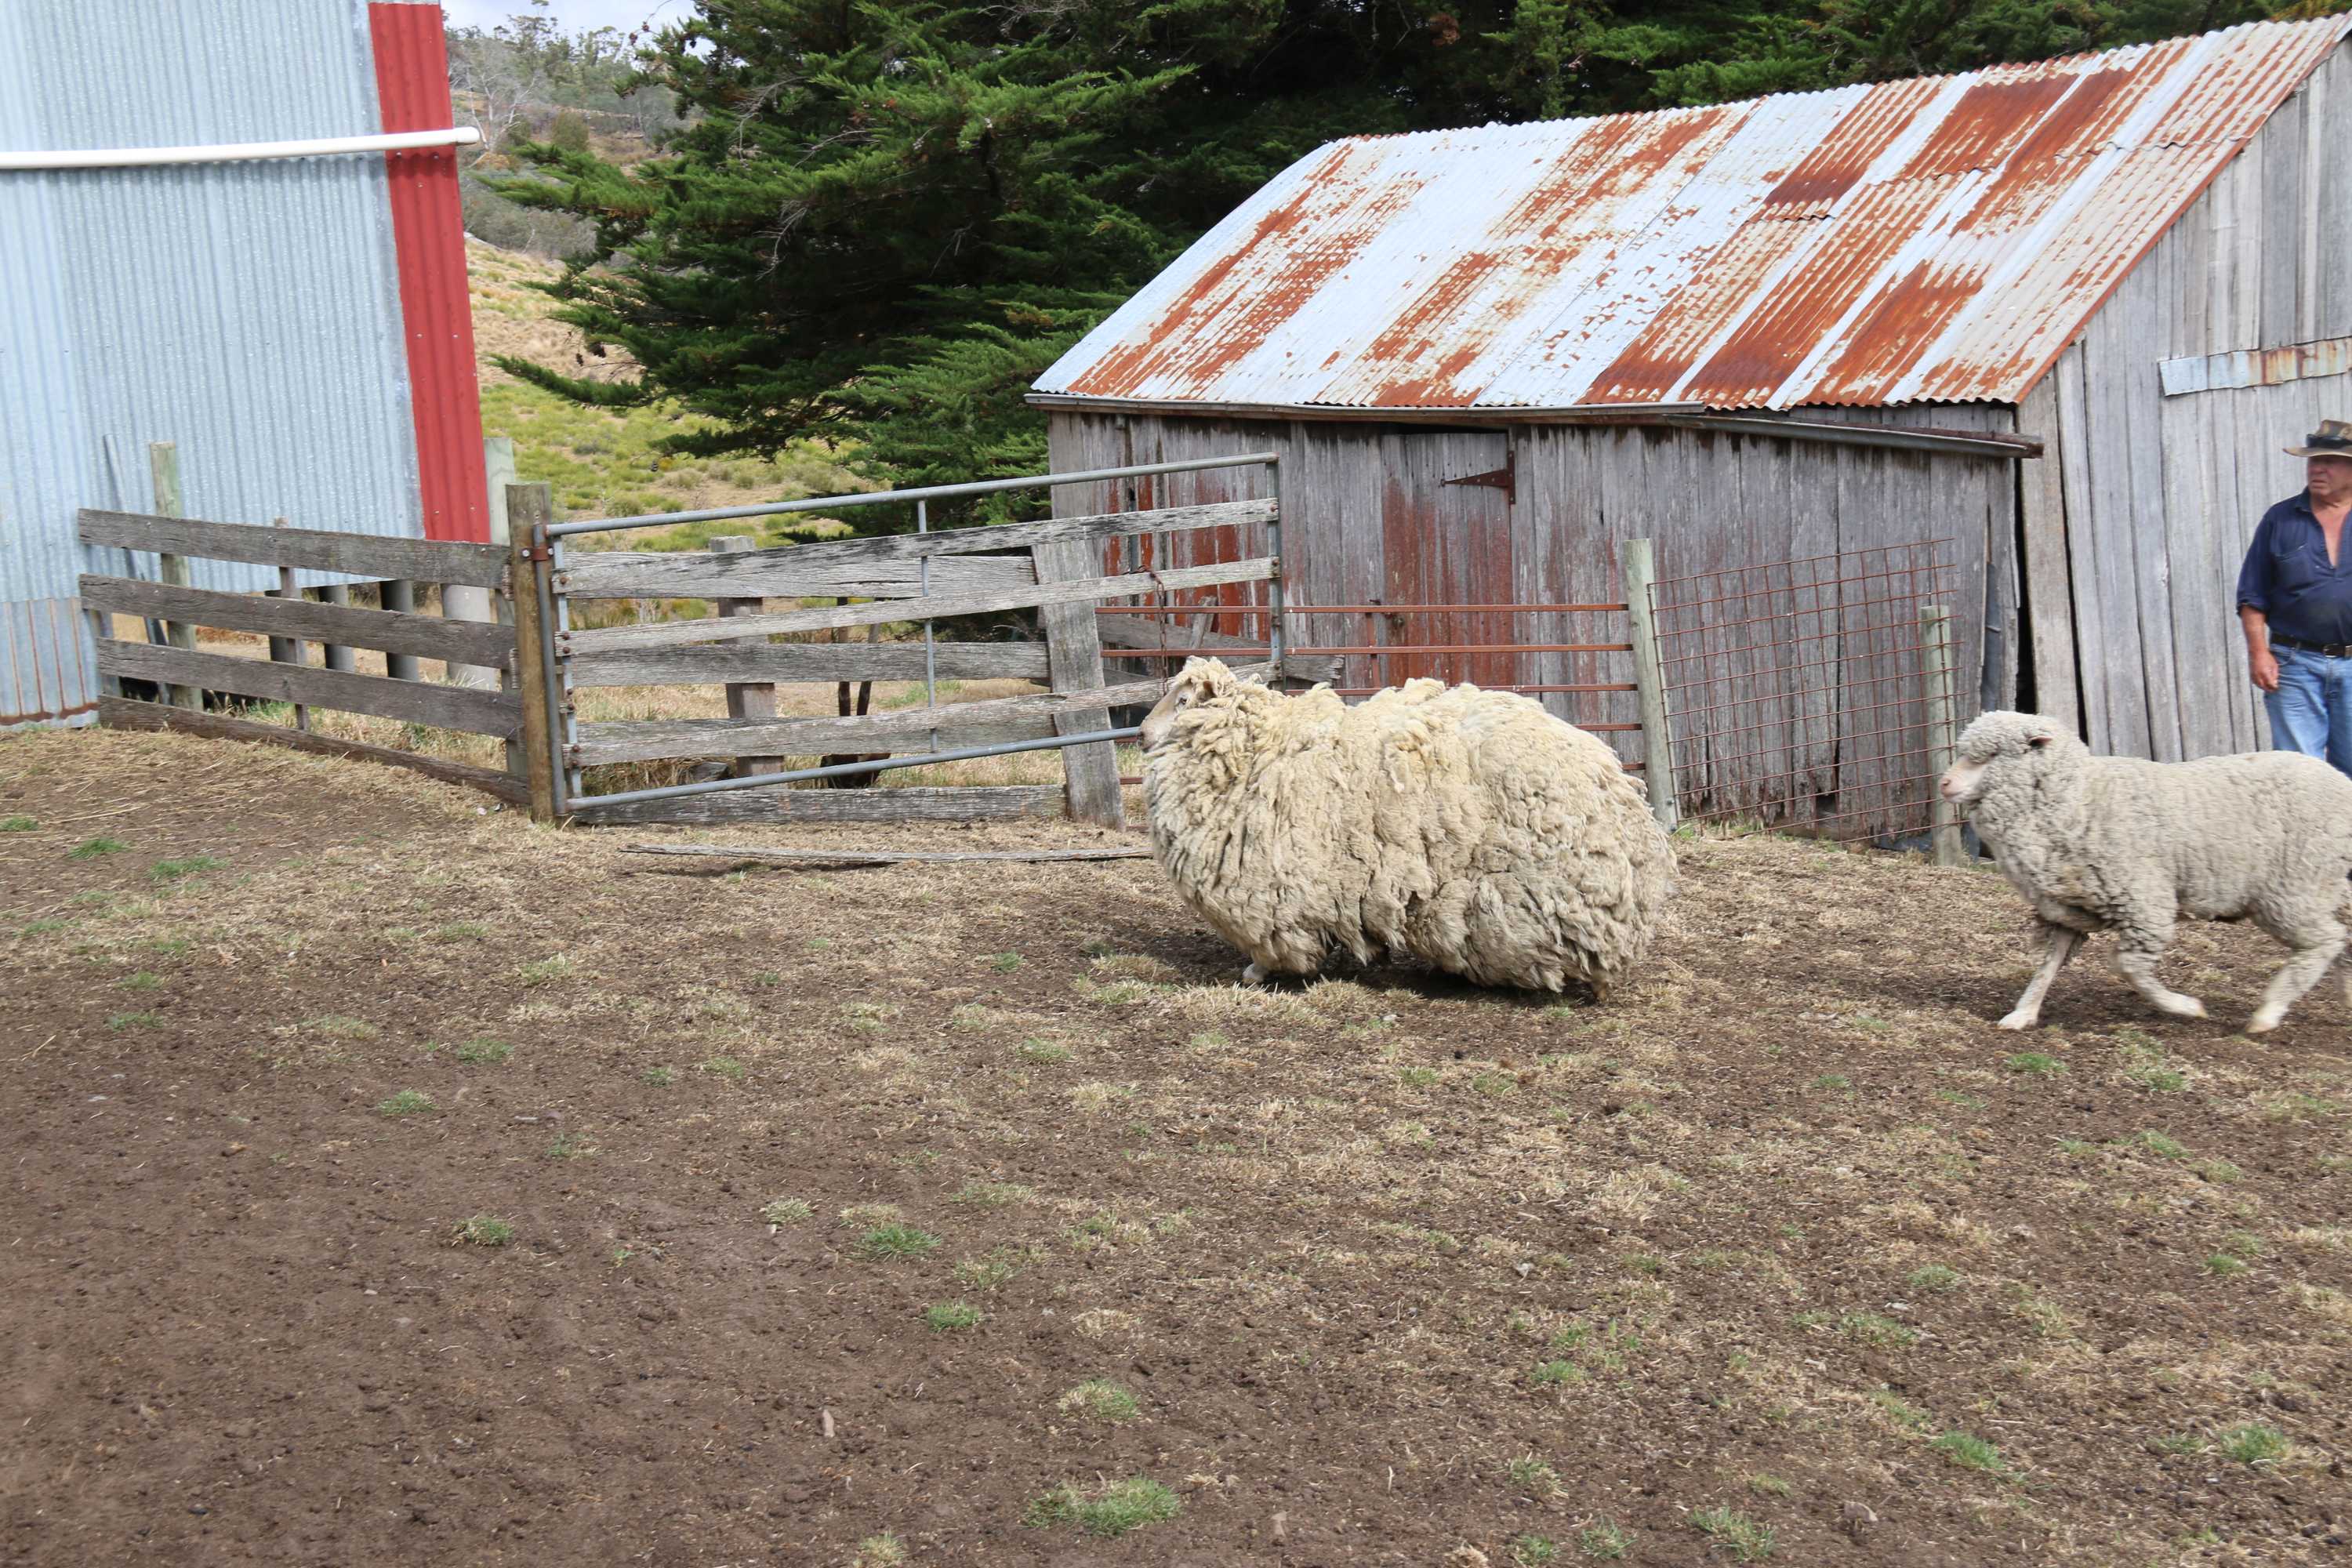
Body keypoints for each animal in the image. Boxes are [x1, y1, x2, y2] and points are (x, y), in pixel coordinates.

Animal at [1137, 658, 1675, 996]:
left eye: (1182, 701)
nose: (1140, 734)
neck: (1254, 750)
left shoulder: (1273, 891)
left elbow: (1275, 945)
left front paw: (1256, 972)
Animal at [1938, 710, 2352, 1034]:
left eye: (1991, 755)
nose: (1944, 783)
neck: (2082, 799)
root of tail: (2339, 780)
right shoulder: (2071, 908)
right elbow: (2050, 963)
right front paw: (2023, 1012)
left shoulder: (2145, 902)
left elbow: (2128, 968)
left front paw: (2186, 1007)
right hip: (2330, 884)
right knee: (2345, 936)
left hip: (2293, 887)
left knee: (2325, 941)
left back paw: (2267, 1012)